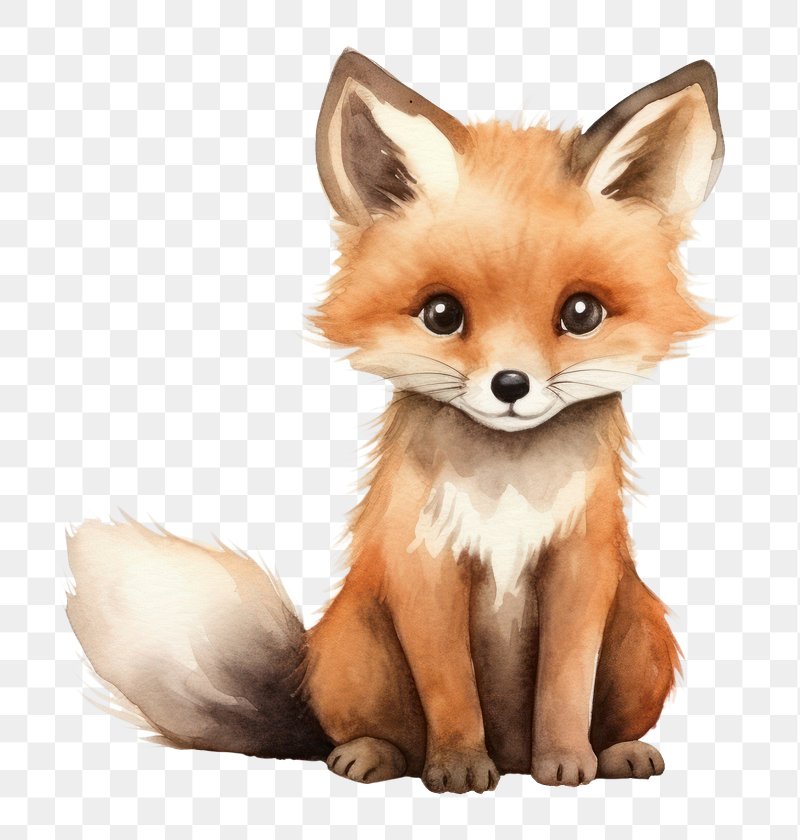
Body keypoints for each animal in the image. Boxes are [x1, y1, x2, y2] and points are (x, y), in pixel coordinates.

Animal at [67, 50, 724, 793]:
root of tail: (512, 752)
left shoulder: (580, 566)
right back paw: (372, 755)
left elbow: (565, 683)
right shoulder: (425, 569)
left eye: (581, 314)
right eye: (442, 314)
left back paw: (615, 754)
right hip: (357, 647)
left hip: (641, 633)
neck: (507, 491)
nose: (511, 385)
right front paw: (460, 766)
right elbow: (450, 689)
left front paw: (566, 762)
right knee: (373, 736)